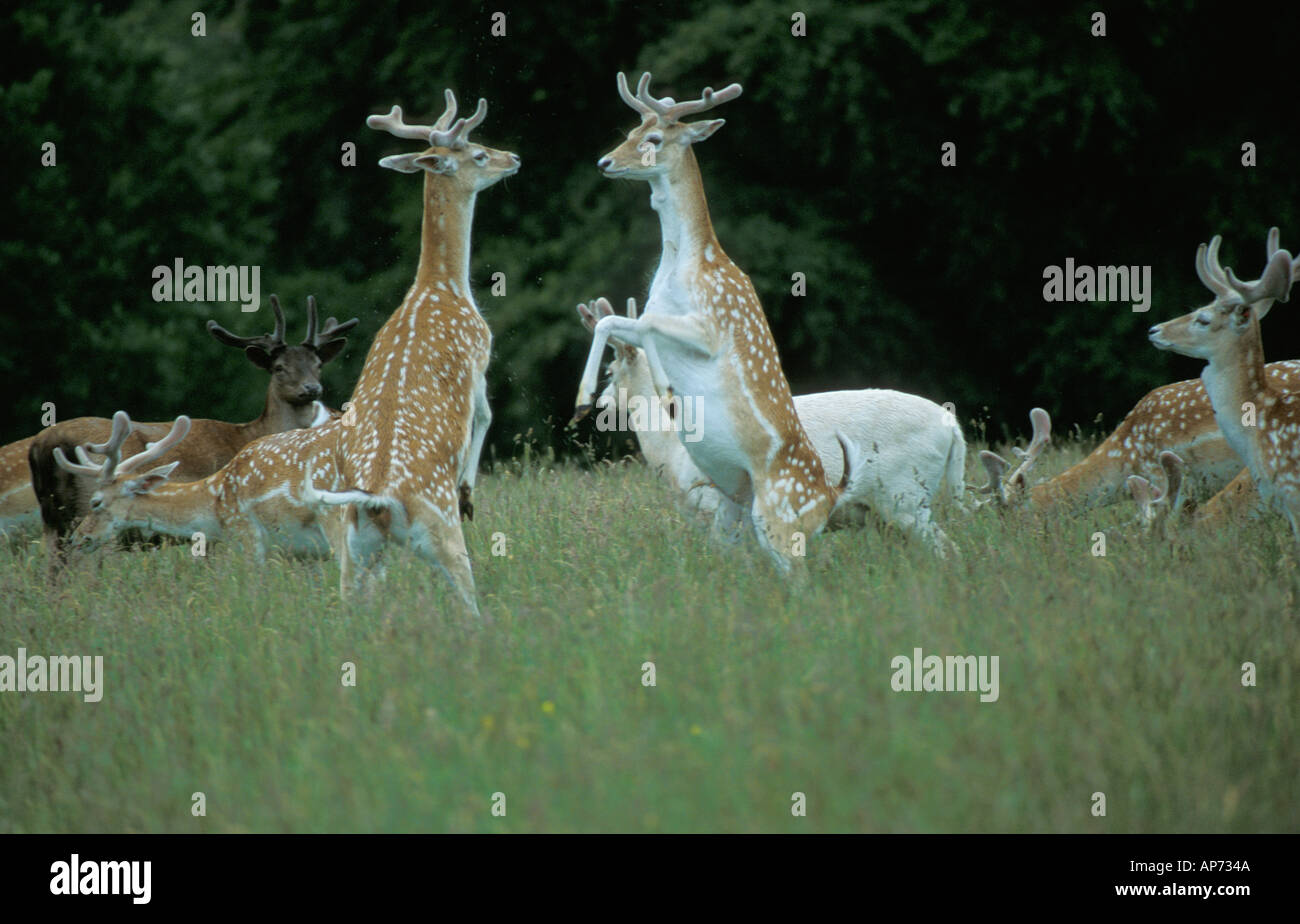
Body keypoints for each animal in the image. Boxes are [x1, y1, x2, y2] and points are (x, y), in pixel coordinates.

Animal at [25, 294, 356, 551]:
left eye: (318, 365)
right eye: (279, 367)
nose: (312, 389)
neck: (252, 432)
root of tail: (41, 446)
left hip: (52, 522)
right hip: (89, 517)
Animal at [293, 91, 519, 614]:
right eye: (479, 153)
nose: (513, 158)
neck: (441, 287)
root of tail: (380, 501)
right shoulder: (480, 354)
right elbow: (485, 415)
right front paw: (468, 492)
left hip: (354, 552)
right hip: (441, 534)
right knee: (467, 597)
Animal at [572, 72, 860, 574]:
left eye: (653, 139)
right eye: (630, 129)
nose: (605, 161)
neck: (687, 265)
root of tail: (829, 497)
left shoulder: (710, 325)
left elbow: (641, 325)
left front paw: (664, 389)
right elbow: (617, 324)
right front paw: (583, 403)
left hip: (779, 520)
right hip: (733, 510)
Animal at [578, 296, 965, 554]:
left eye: (610, 371)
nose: (602, 404)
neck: (671, 448)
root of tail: (952, 428)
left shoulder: (717, 504)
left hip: (906, 496)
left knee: (946, 547)